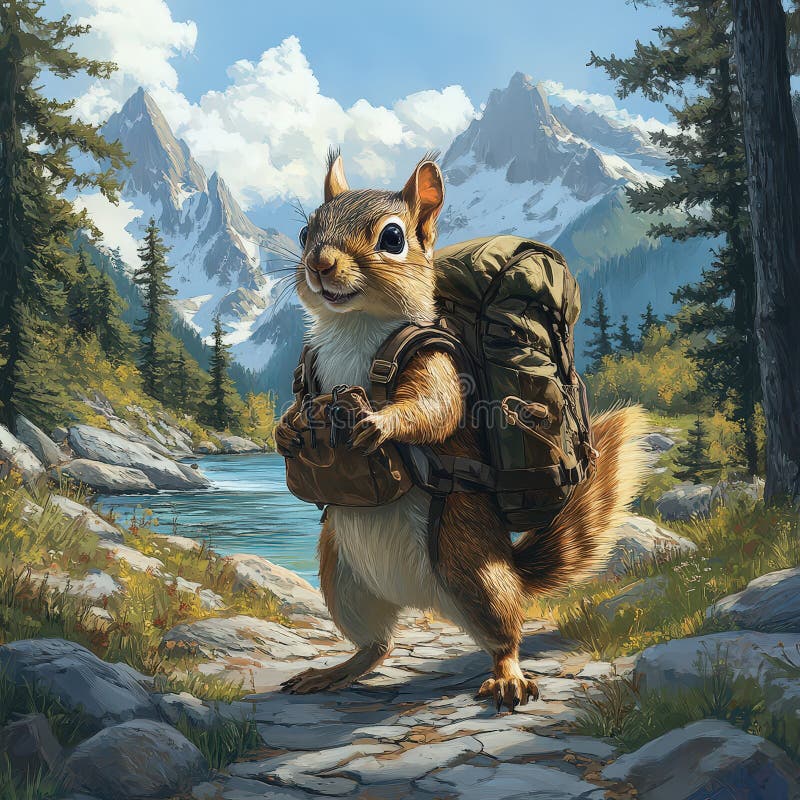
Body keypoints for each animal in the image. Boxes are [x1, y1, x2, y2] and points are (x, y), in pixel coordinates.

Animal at [277, 151, 648, 711]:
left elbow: (436, 406)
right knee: (377, 645)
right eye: (305, 231)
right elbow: (298, 403)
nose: (318, 265)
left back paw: (508, 678)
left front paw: (380, 421)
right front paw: (285, 430)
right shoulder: (311, 365)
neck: (353, 324)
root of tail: (422, 601)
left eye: (392, 237)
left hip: (471, 567)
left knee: (505, 634)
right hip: (342, 580)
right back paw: (335, 671)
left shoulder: (434, 357)